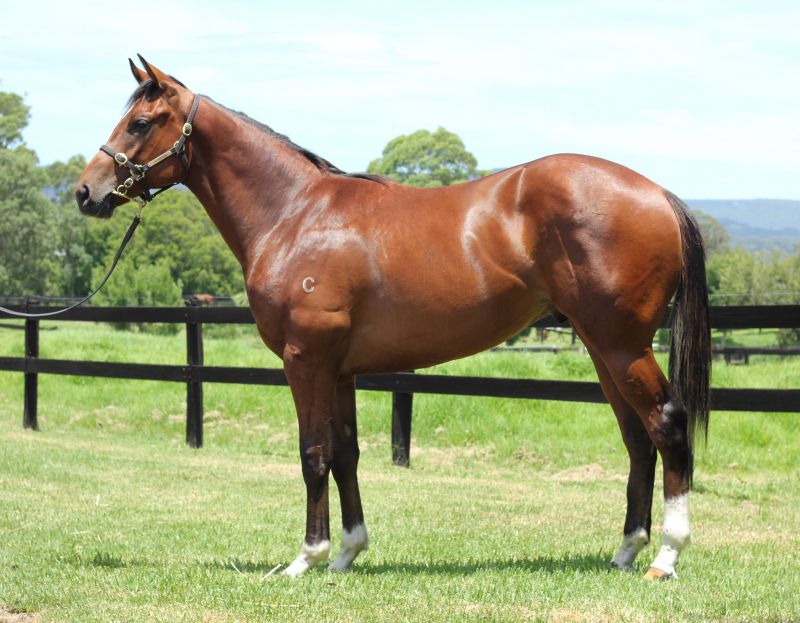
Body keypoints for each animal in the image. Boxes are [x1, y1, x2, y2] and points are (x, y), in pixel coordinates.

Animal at [76, 57, 710, 580]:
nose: (86, 192)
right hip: (603, 350)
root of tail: (659, 194)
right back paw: (625, 552)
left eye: (140, 123)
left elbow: (313, 455)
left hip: (622, 345)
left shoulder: (305, 360)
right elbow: (346, 454)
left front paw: (306, 559)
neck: (295, 214)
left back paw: (666, 557)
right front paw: (348, 553)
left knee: (667, 425)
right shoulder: (339, 370)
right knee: (637, 439)